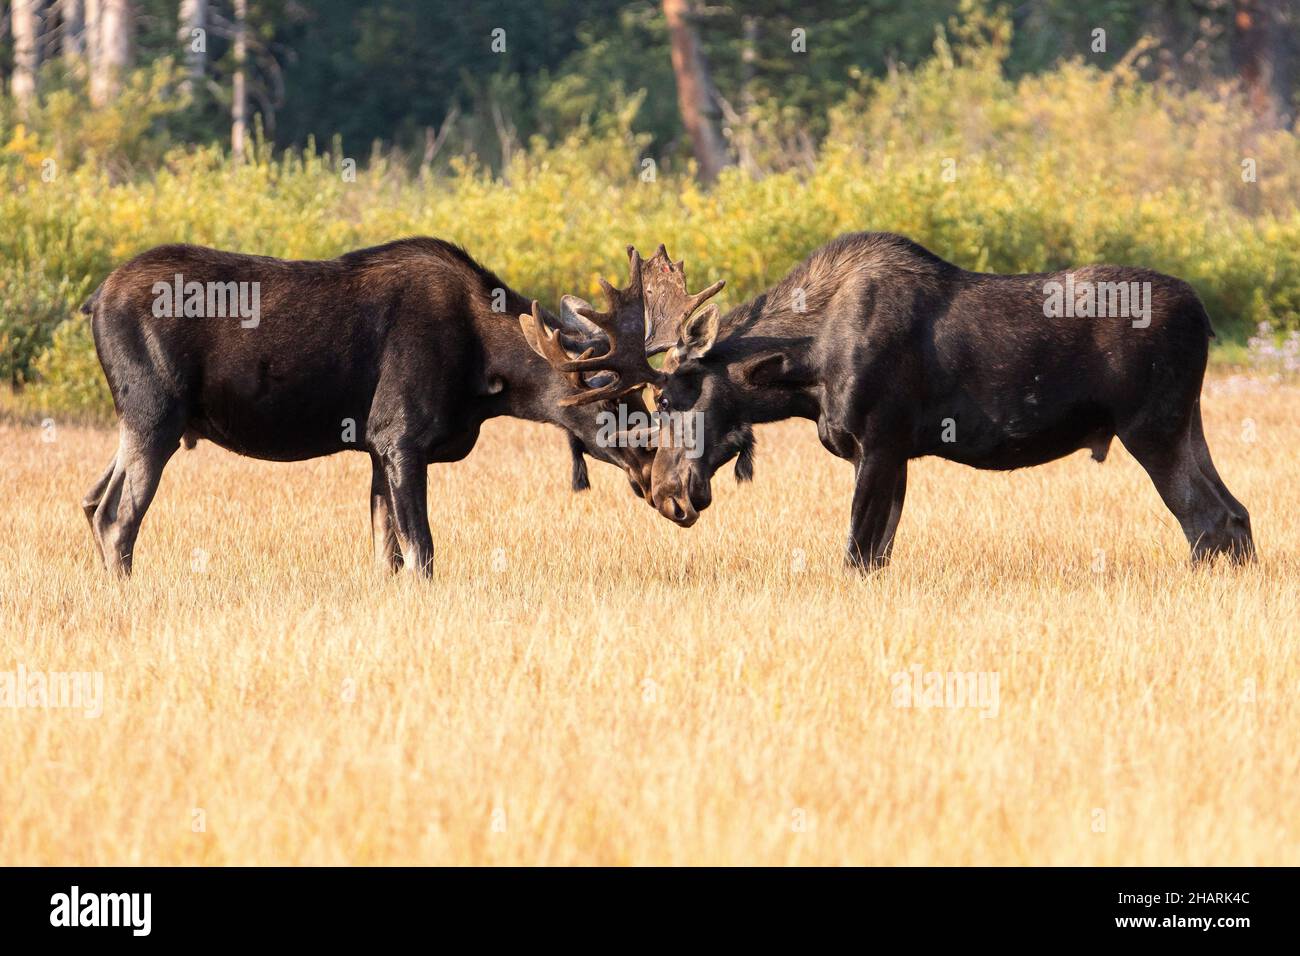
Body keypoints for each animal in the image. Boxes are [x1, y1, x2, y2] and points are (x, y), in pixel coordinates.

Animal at [81, 237, 658, 576]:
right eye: (614, 400)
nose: (656, 460)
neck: (488, 375)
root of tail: (95, 299)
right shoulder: (400, 437)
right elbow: (422, 551)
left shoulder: (378, 450)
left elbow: (390, 556)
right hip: (155, 415)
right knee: (115, 516)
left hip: (139, 424)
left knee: (90, 500)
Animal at [563, 235, 1255, 570]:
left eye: (667, 395)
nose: (665, 496)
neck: (803, 373)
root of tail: (1204, 318)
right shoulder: (893, 454)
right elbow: (879, 553)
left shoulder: (881, 441)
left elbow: (857, 554)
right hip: (1184, 425)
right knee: (1235, 516)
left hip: (1153, 427)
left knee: (1208, 521)